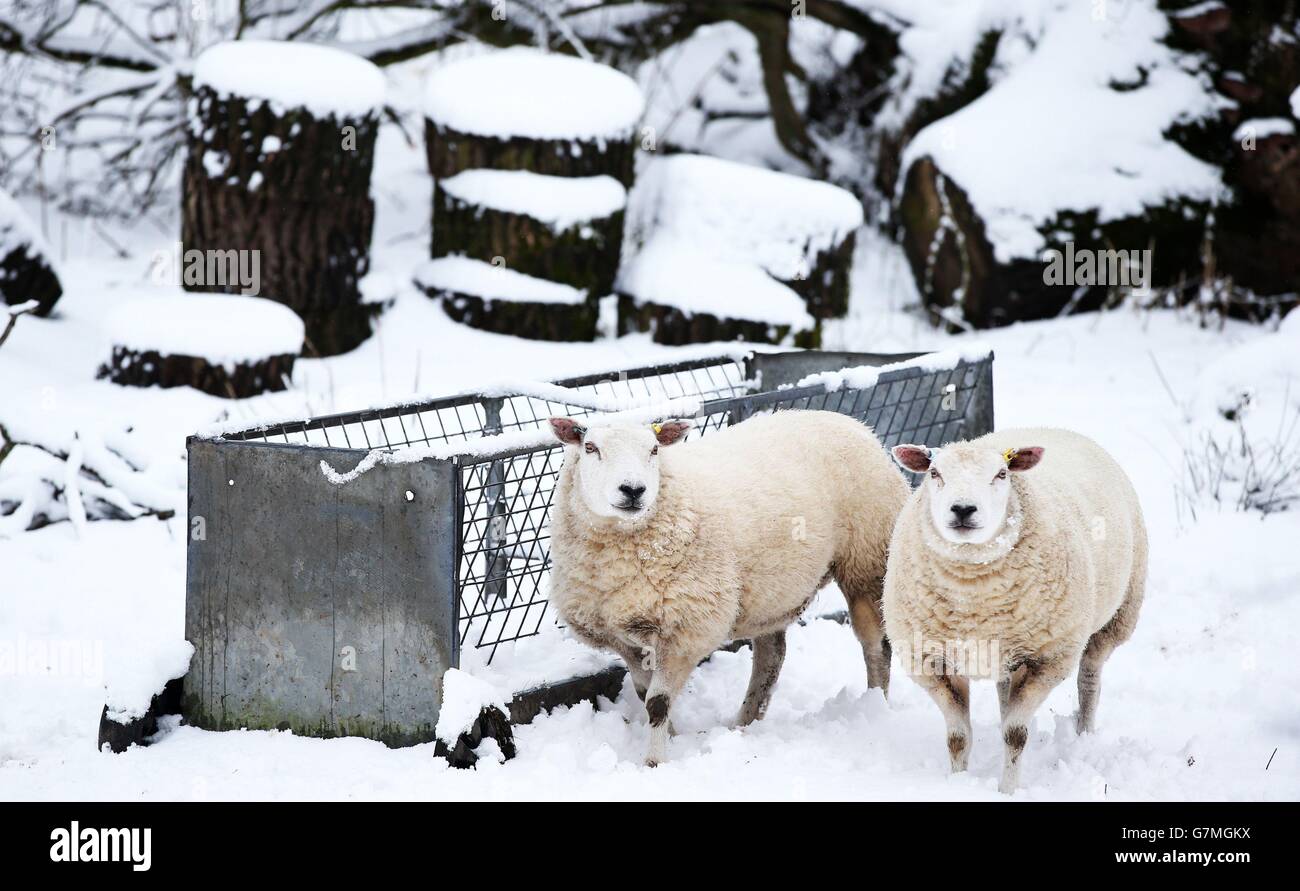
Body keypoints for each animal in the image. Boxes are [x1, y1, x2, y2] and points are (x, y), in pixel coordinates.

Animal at [547, 409, 909, 766]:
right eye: (590, 447)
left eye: (654, 450)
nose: (633, 490)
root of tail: (856, 424)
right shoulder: (623, 640)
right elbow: (644, 694)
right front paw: (673, 738)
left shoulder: (686, 631)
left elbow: (657, 703)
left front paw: (654, 762)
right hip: (773, 591)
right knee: (772, 654)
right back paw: (746, 722)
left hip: (866, 562)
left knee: (876, 646)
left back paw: (876, 704)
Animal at [883, 428, 1147, 793]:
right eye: (935, 473)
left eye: (1001, 474)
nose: (962, 509)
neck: (973, 596)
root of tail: (1053, 428)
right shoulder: (930, 661)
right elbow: (957, 739)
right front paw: (958, 783)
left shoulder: (1046, 661)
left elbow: (1015, 735)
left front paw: (1007, 790)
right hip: (1007, 648)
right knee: (1005, 692)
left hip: (1115, 617)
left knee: (1089, 679)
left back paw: (1084, 733)